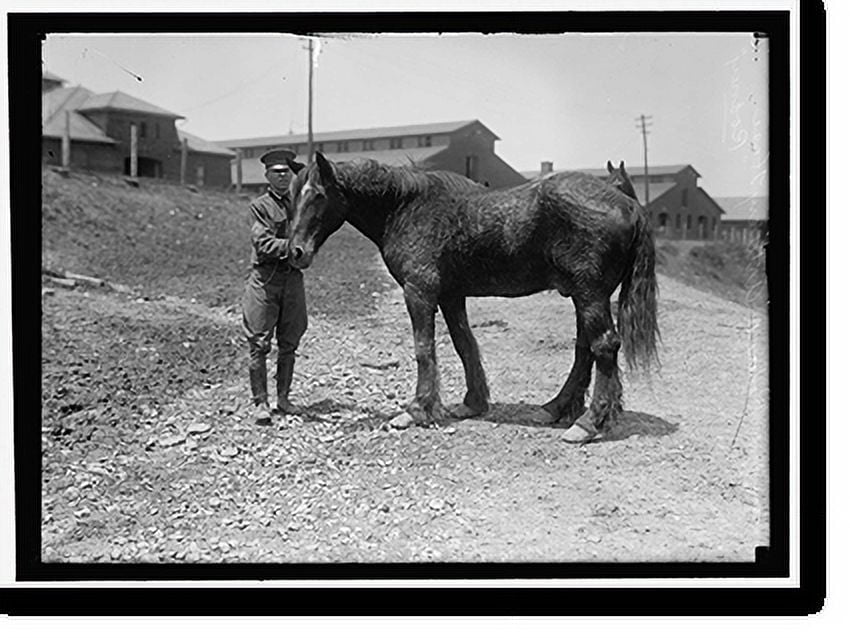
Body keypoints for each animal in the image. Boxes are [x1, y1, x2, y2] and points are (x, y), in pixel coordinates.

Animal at [285, 152, 658, 443]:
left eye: (317, 195)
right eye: (291, 196)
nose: (296, 252)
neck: (405, 207)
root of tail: (629, 205)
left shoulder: (419, 292)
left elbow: (424, 349)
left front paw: (417, 410)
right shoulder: (451, 296)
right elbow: (464, 343)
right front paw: (472, 403)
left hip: (590, 294)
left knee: (603, 346)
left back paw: (589, 423)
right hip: (584, 296)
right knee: (585, 350)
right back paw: (555, 409)